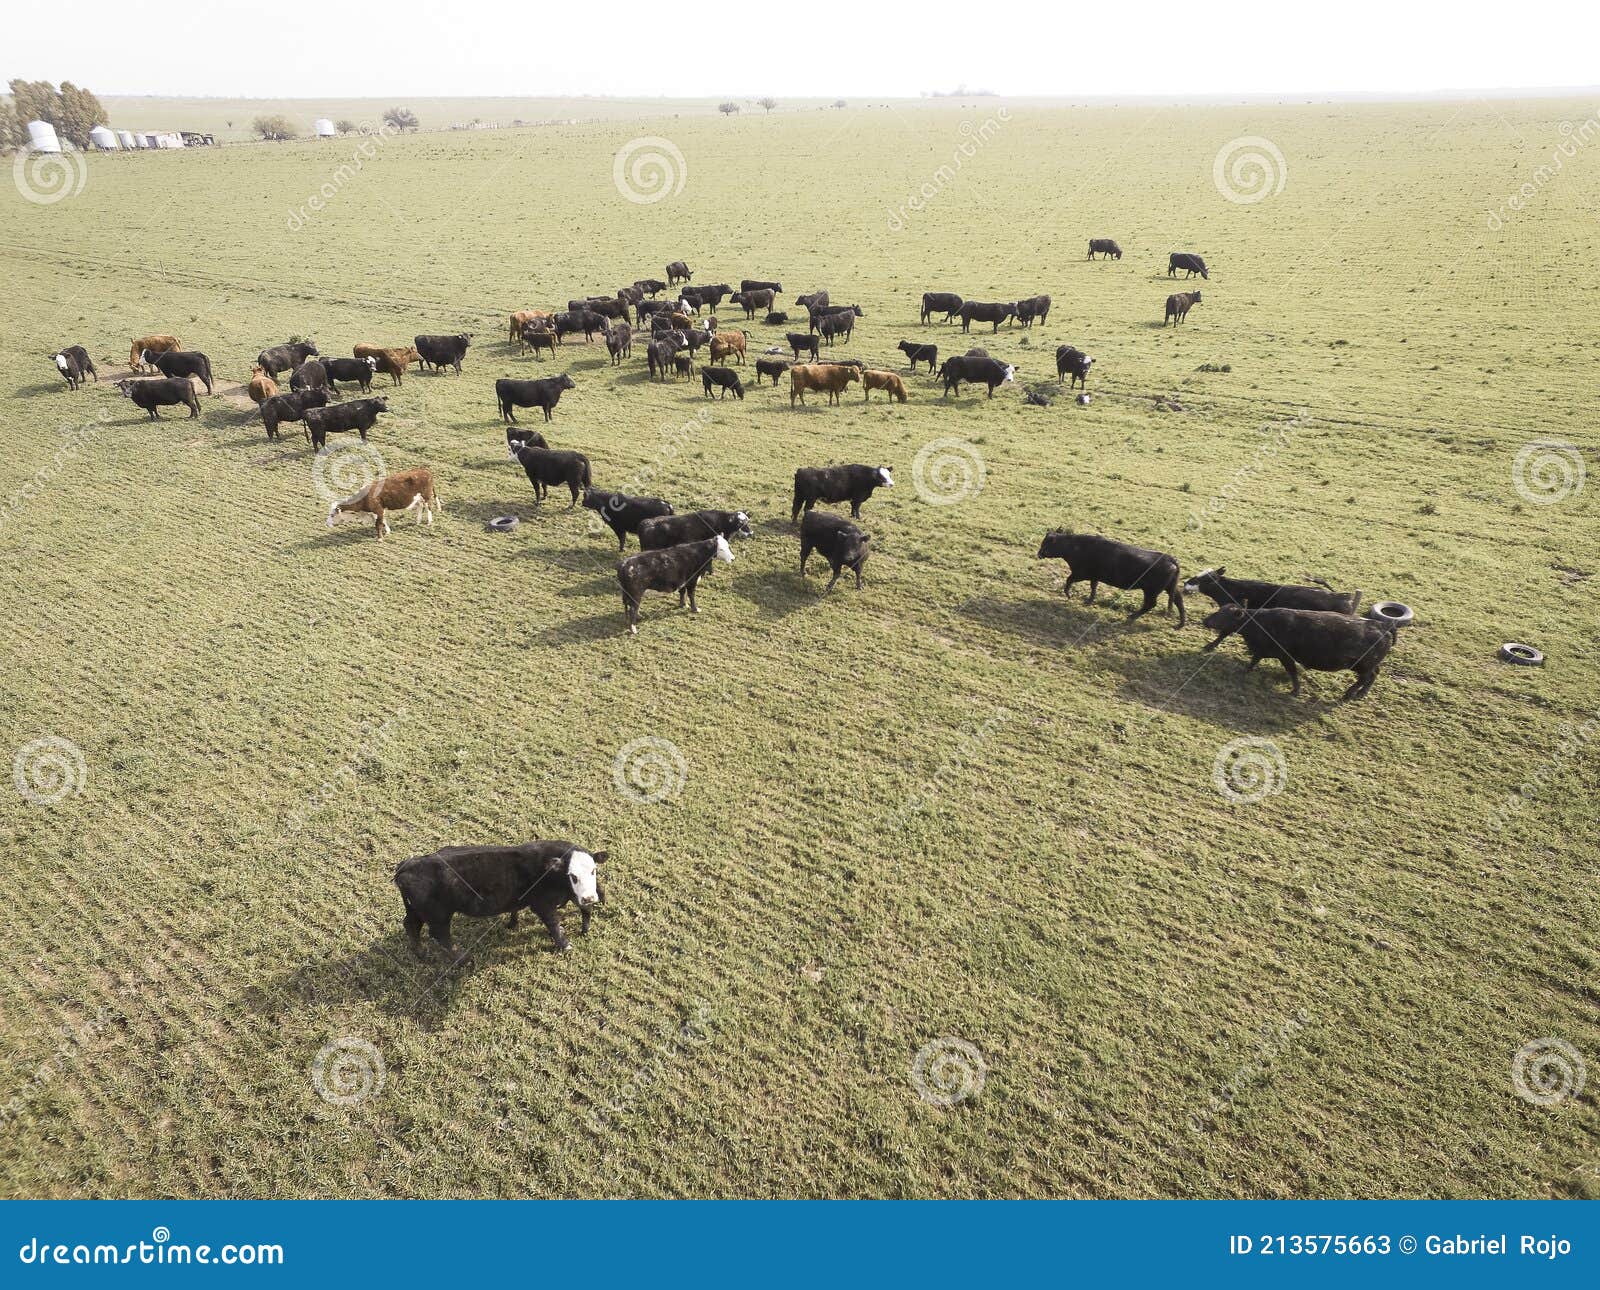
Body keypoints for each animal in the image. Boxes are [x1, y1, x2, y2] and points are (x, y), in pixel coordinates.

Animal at [394, 840, 607, 958]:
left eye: (593, 870)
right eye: (573, 876)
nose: (589, 897)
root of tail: (410, 864)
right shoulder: (543, 904)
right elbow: (554, 924)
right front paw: (565, 945)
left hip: (416, 911)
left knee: (411, 926)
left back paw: (421, 953)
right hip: (439, 917)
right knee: (441, 936)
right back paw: (463, 959)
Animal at [1036, 530, 1185, 626]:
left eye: (1046, 543)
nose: (1039, 553)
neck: (1075, 547)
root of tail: (1169, 559)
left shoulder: (1081, 573)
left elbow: (1069, 580)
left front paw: (1068, 595)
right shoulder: (1094, 576)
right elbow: (1093, 587)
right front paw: (1089, 601)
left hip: (1151, 591)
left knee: (1150, 604)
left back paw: (1131, 617)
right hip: (1169, 588)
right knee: (1178, 601)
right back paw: (1180, 624)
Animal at [1202, 606, 1397, 700]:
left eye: (1223, 614)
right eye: (1219, 610)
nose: (1205, 620)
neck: (1259, 622)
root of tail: (1382, 626)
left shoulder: (1284, 656)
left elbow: (1292, 672)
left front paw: (1295, 690)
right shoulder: (1262, 650)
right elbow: (1254, 659)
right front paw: (1245, 670)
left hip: (1362, 666)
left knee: (1366, 677)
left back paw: (1349, 694)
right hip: (1368, 665)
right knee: (1374, 674)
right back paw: (1361, 693)